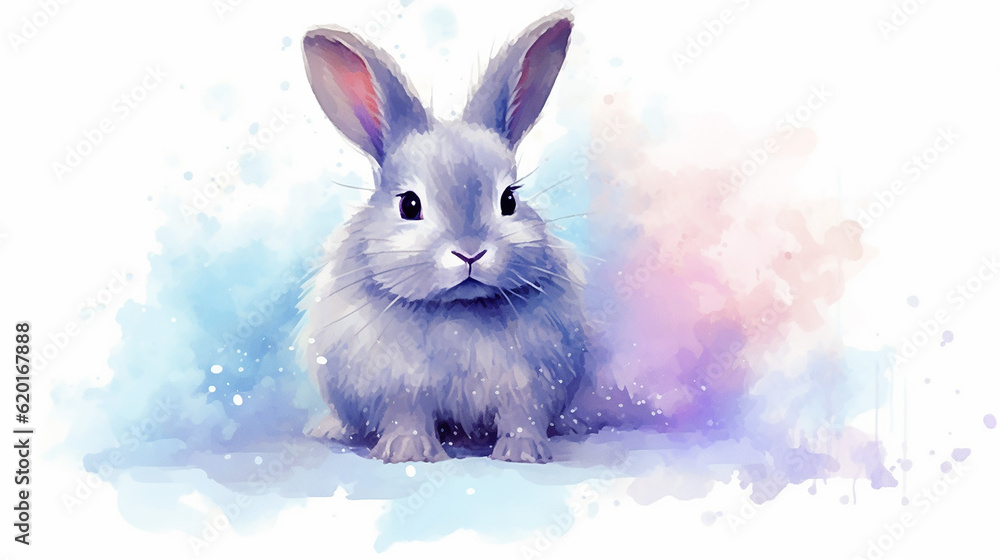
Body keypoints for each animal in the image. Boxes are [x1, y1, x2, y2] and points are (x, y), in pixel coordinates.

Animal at [296, 12, 587, 463]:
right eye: (409, 205)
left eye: (509, 200)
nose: (470, 253)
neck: (457, 309)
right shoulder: (398, 388)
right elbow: (407, 416)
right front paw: (408, 453)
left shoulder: (528, 386)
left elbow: (522, 417)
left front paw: (523, 453)